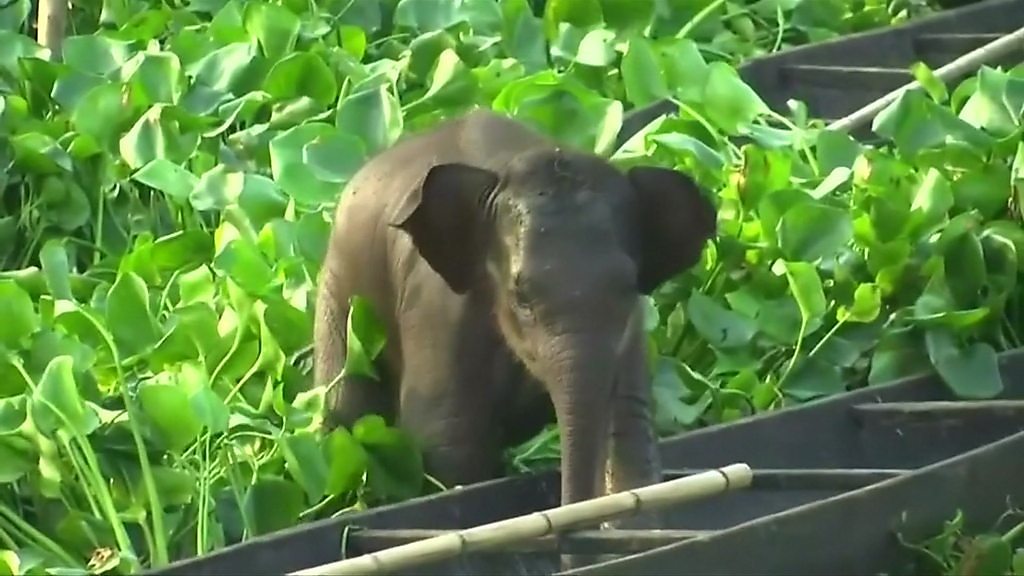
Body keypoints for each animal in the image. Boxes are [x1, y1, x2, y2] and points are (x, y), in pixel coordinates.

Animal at [314, 109, 717, 531]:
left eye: (627, 288)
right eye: (521, 298)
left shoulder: (630, 335)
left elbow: (630, 426)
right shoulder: (438, 311)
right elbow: (445, 441)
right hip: (342, 305)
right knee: (347, 410)